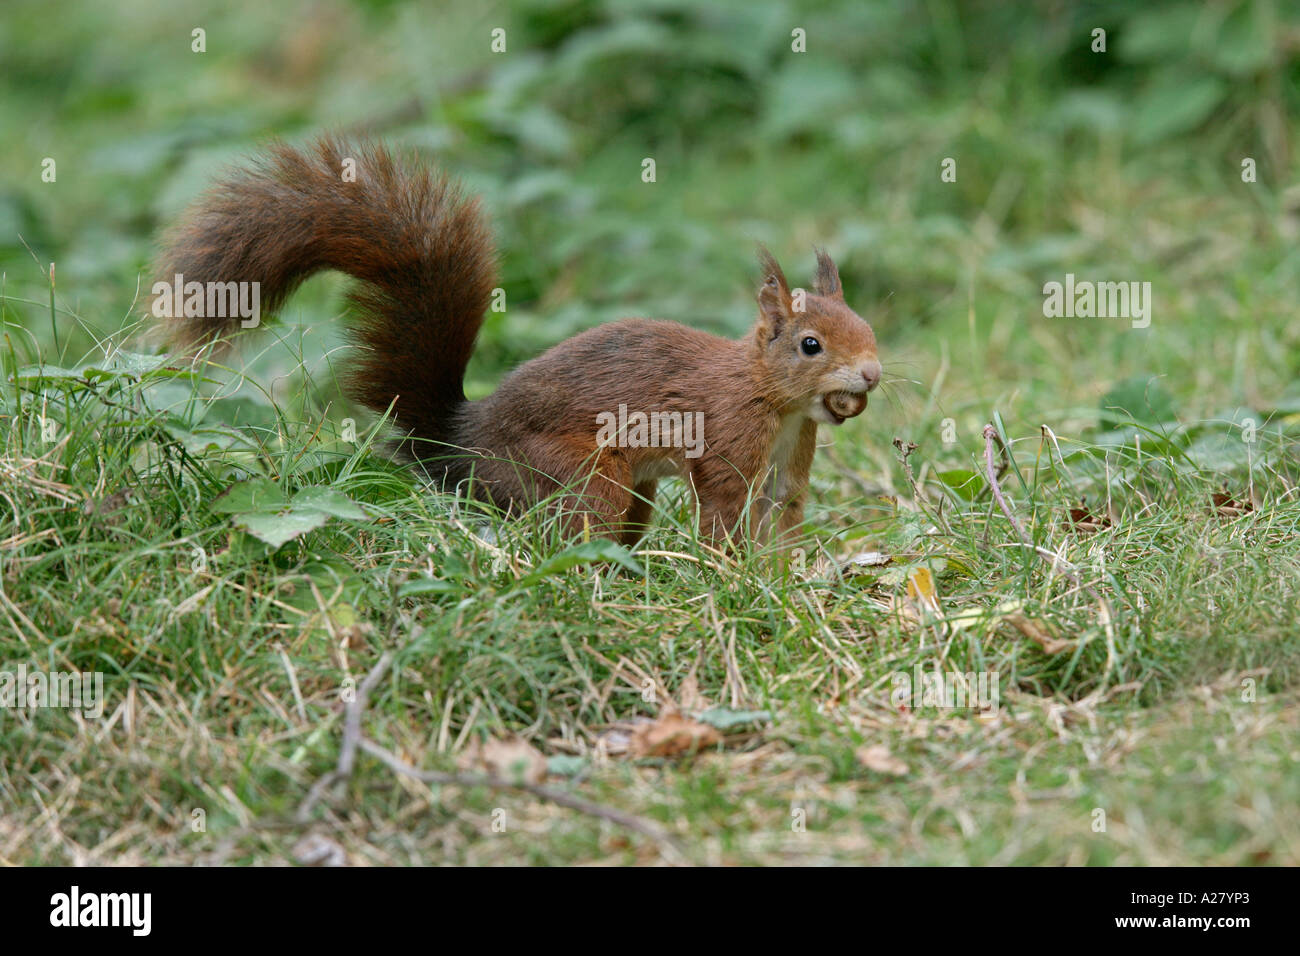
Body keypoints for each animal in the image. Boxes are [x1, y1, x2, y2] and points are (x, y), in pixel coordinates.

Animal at [153, 136, 882, 548]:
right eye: (811, 345)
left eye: (870, 330)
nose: (872, 376)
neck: (774, 400)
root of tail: (462, 444)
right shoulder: (729, 442)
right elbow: (726, 515)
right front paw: (731, 574)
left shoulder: (790, 462)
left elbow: (784, 515)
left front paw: (785, 577)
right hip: (586, 475)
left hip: (631, 491)